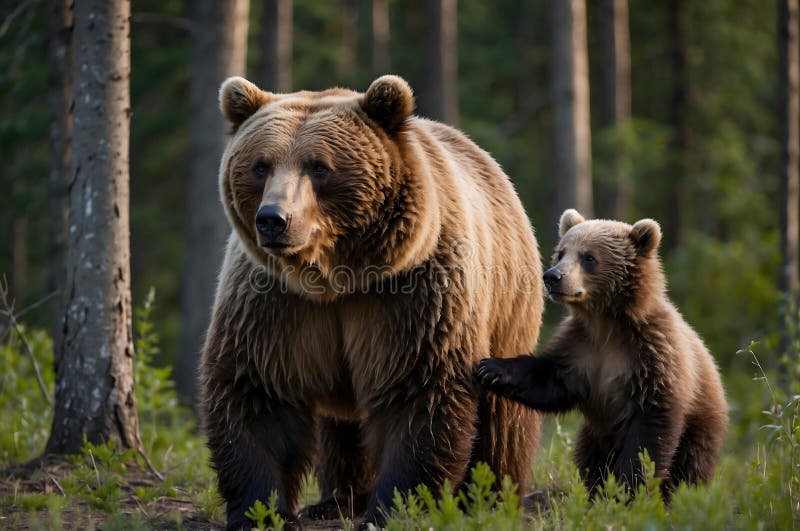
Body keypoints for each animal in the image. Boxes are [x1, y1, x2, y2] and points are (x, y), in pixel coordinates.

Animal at [199, 74, 545, 529]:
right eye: (261, 165)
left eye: (319, 166)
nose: (273, 219)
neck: (334, 277)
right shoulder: (274, 302)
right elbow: (258, 392)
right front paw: (261, 511)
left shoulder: (411, 292)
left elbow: (419, 389)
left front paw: (394, 506)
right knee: (341, 426)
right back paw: (335, 500)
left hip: (507, 302)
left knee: (502, 417)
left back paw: (491, 495)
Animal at [476, 209, 728, 498]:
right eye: (561, 253)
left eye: (588, 257)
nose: (552, 276)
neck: (607, 324)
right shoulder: (581, 351)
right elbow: (547, 380)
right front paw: (491, 368)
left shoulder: (652, 356)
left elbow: (647, 438)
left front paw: (629, 488)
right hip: (595, 433)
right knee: (590, 460)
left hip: (700, 423)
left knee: (690, 466)